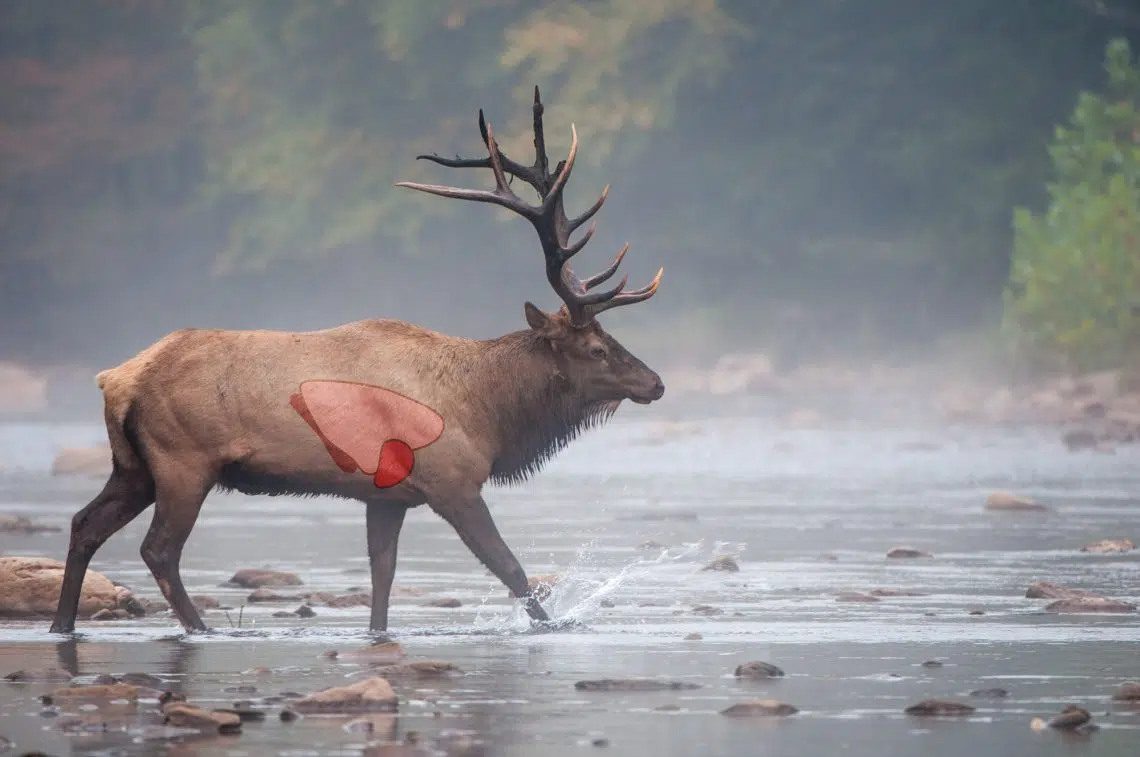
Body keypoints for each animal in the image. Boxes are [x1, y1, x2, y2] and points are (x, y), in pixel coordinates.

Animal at [49, 85, 665, 633]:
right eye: (596, 348)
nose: (656, 383)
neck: (486, 411)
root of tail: (115, 380)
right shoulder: (451, 481)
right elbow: (510, 568)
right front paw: (556, 624)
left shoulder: (386, 496)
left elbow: (383, 577)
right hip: (183, 461)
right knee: (158, 549)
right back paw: (200, 629)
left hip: (133, 466)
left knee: (84, 524)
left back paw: (62, 624)